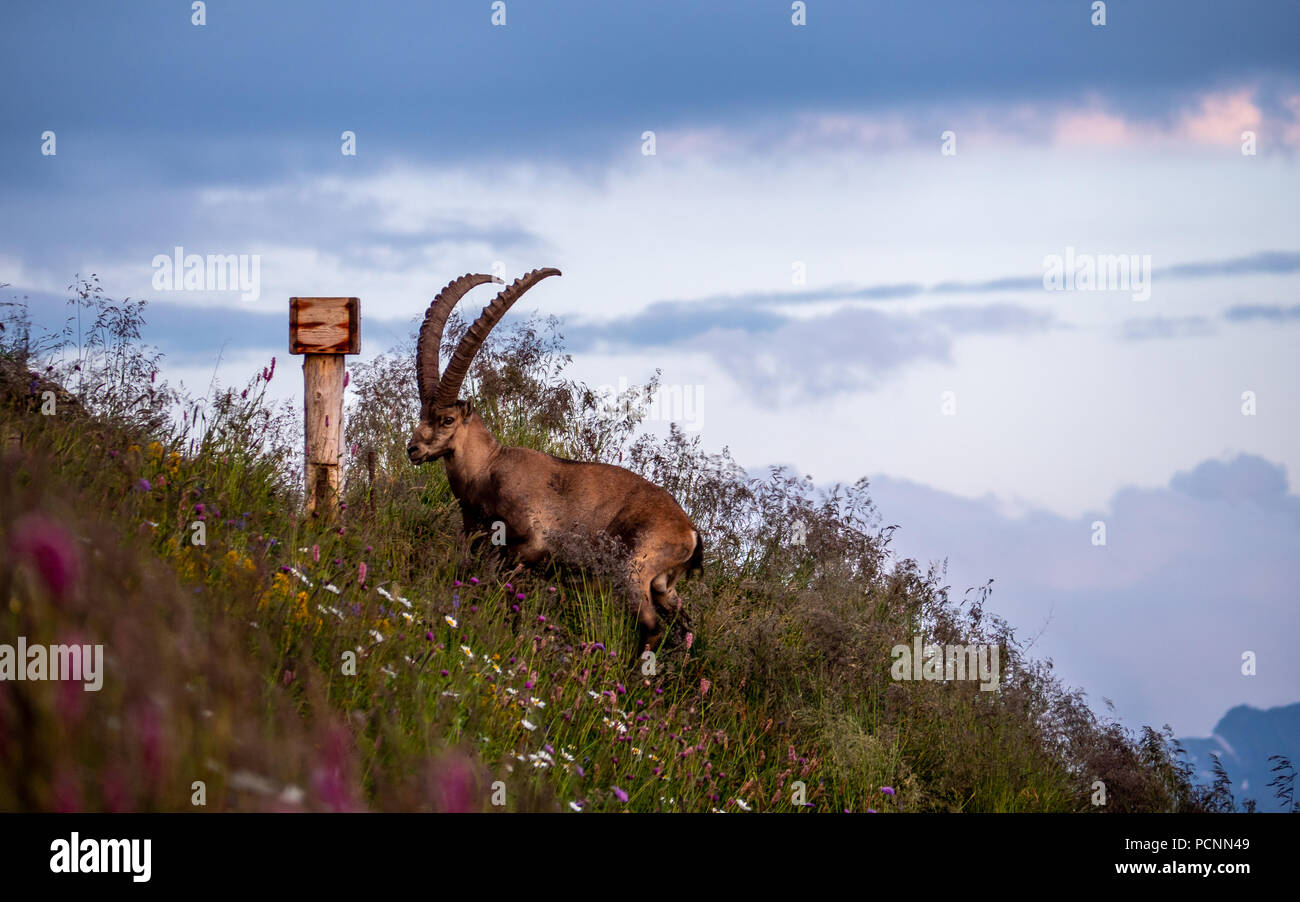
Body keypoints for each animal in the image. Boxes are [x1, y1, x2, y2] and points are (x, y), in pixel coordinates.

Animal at [406, 269, 703, 652]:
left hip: (633, 571)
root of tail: (690, 532)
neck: (488, 470)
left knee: (651, 626)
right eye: (422, 414)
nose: (413, 449)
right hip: (664, 587)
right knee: (683, 624)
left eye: (446, 420)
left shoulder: (531, 544)